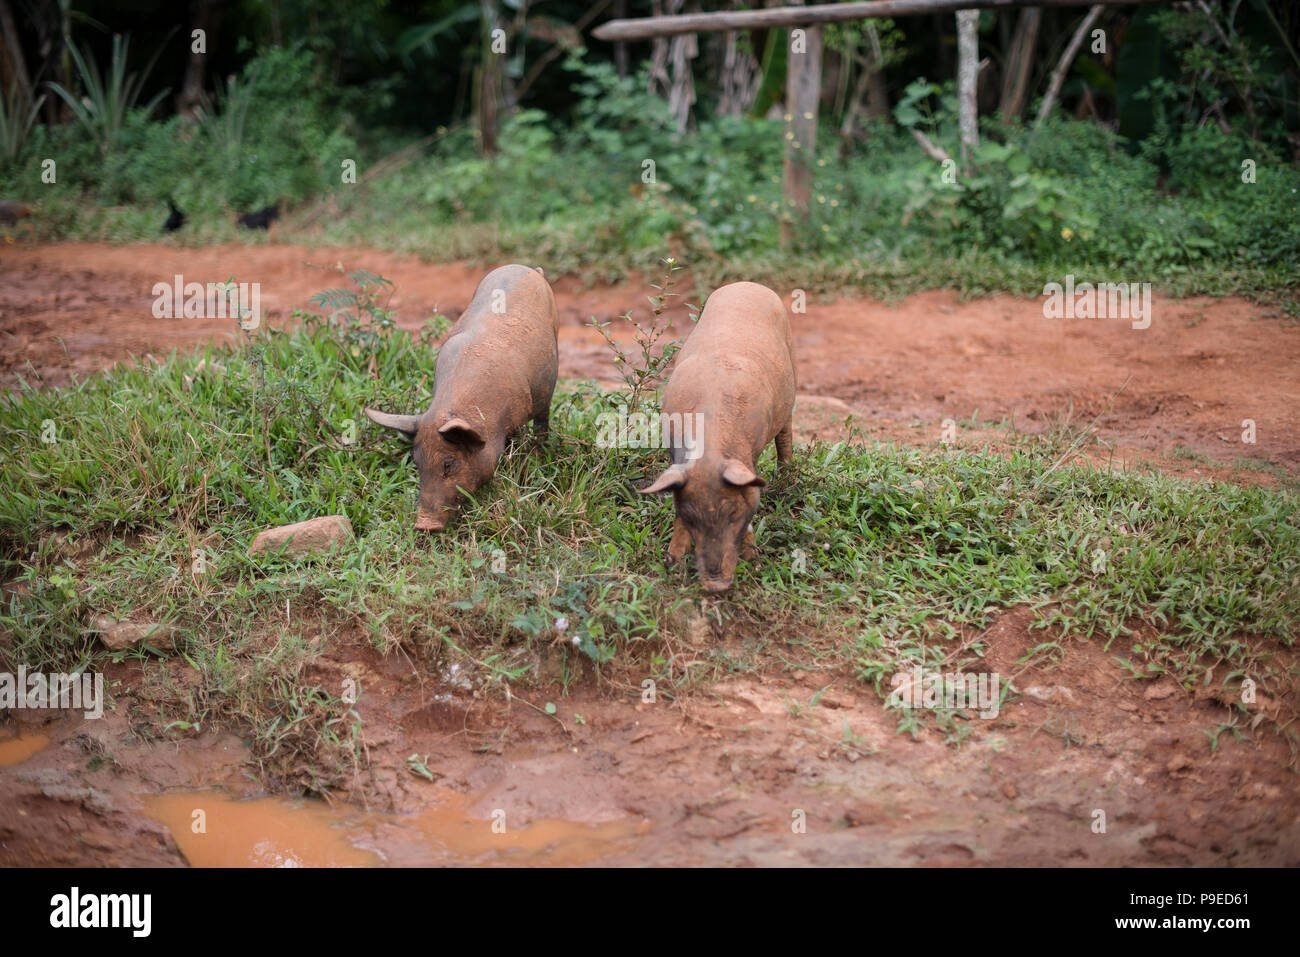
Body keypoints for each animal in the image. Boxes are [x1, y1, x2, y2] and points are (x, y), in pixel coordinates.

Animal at [365, 264, 558, 531]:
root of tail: (528, 269)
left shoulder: (518, 415)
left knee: (543, 421)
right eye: (417, 464)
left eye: (448, 464)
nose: (424, 524)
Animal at [638, 281, 796, 593]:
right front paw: (672, 563)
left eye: (733, 513)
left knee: (786, 437)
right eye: (691, 516)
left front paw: (755, 562)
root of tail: (748, 284)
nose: (715, 586)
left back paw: (787, 478)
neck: (710, 448)